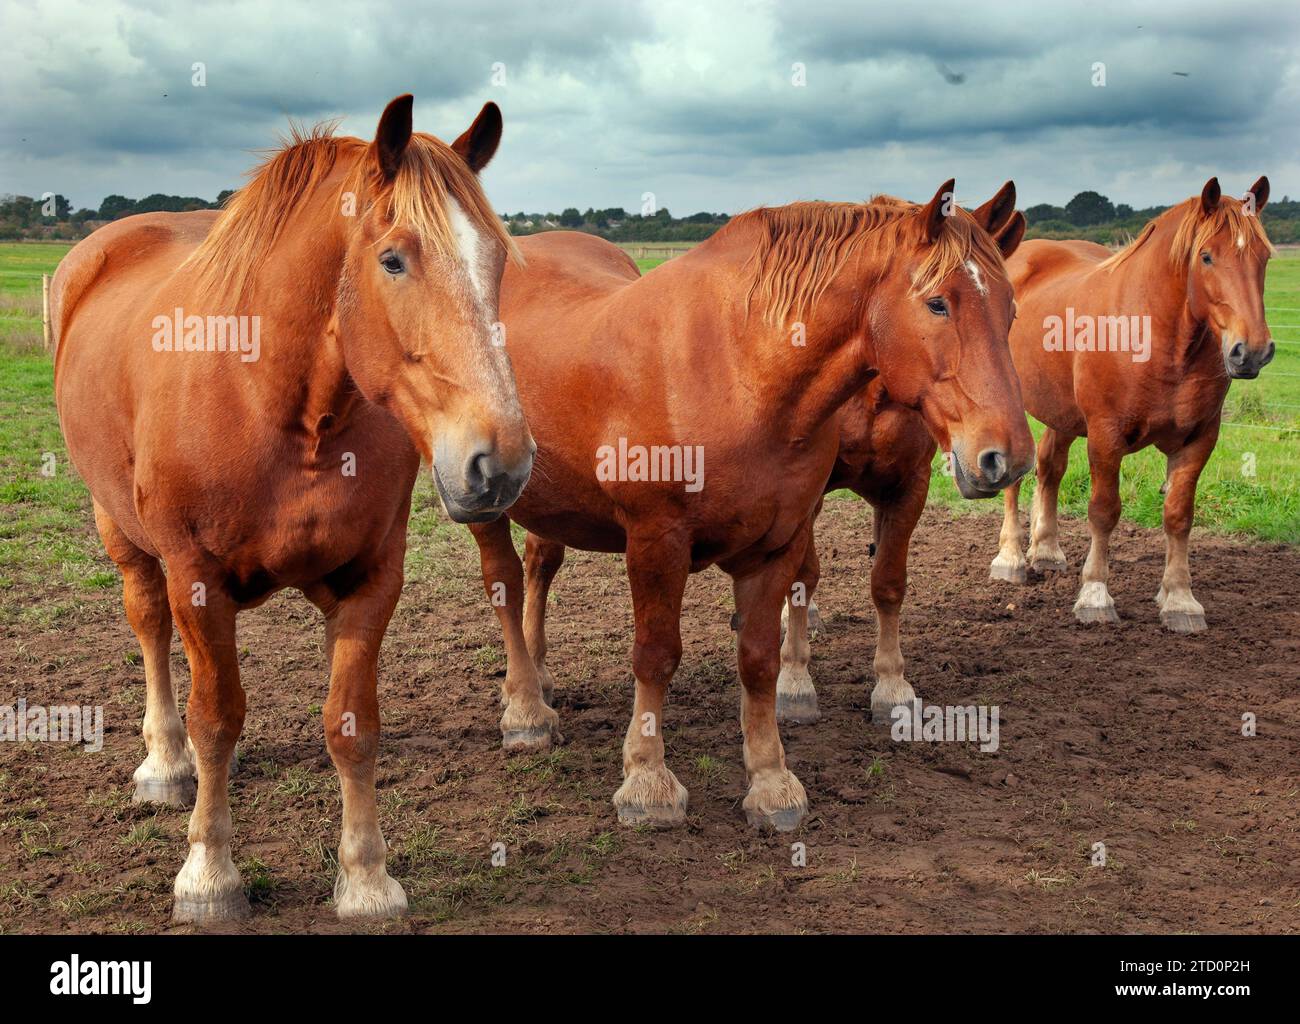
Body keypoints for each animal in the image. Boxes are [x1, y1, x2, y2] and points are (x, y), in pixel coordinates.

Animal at [52, 95, 535, 923]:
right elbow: (215, 718)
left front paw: (367, 879)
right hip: (123, 531)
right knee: (151, 627)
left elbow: (352, 724)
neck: (274, 400)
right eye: (394, 259)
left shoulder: (372, 580)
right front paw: (208, 874)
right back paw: (165, 762)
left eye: (497, 261)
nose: (497, 462)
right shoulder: (195, 574)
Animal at [468, 183, 1033, 833]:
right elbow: (656, 656)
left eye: (1010, 310)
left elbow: (763, 659)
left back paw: (538, 675)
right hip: (484, 500)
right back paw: (525, 709)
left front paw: (771, 780)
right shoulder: (657, 541)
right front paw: (647, 780)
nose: (1008, 457)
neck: (742, 371)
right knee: (506, 582)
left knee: (541, 565)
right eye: (938, 304)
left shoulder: (780, 542)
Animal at [988, 178, 1274, 632]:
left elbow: (1178, 515)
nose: (1253, 352)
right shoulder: (1105, 436)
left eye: (1263, 256)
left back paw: (1046, 551)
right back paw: (1011, 559)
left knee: (1050, 467)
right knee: (1016, 478)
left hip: (1063, 414)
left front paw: (1180, 600)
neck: (1156, 335)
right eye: (1207, 256)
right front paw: (1094, 595)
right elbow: (1104, 511)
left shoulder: (1198, 440)